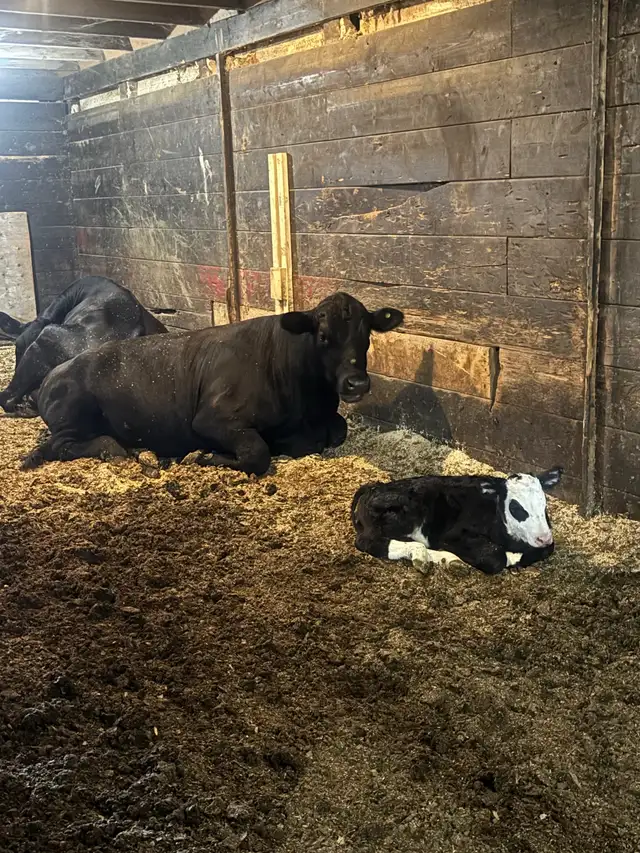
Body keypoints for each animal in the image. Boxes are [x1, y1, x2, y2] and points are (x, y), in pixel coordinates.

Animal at [21, 292, 404, 473]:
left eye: (367, 335)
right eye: (323, 336)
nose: (356, 383)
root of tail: (53, 375)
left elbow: (338, 429)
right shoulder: (212, 418)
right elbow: (256, 454)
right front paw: (204, 457)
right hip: (73, 413)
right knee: (62, 445)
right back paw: (114, 448)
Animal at [351, 468, 563, 575]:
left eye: (544, 505)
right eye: (516, 507)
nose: (543, 538)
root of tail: (373, 487)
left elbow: (548, 549)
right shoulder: (451, 535)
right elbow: (496, 557)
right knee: (369, 542)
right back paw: (422, 555)